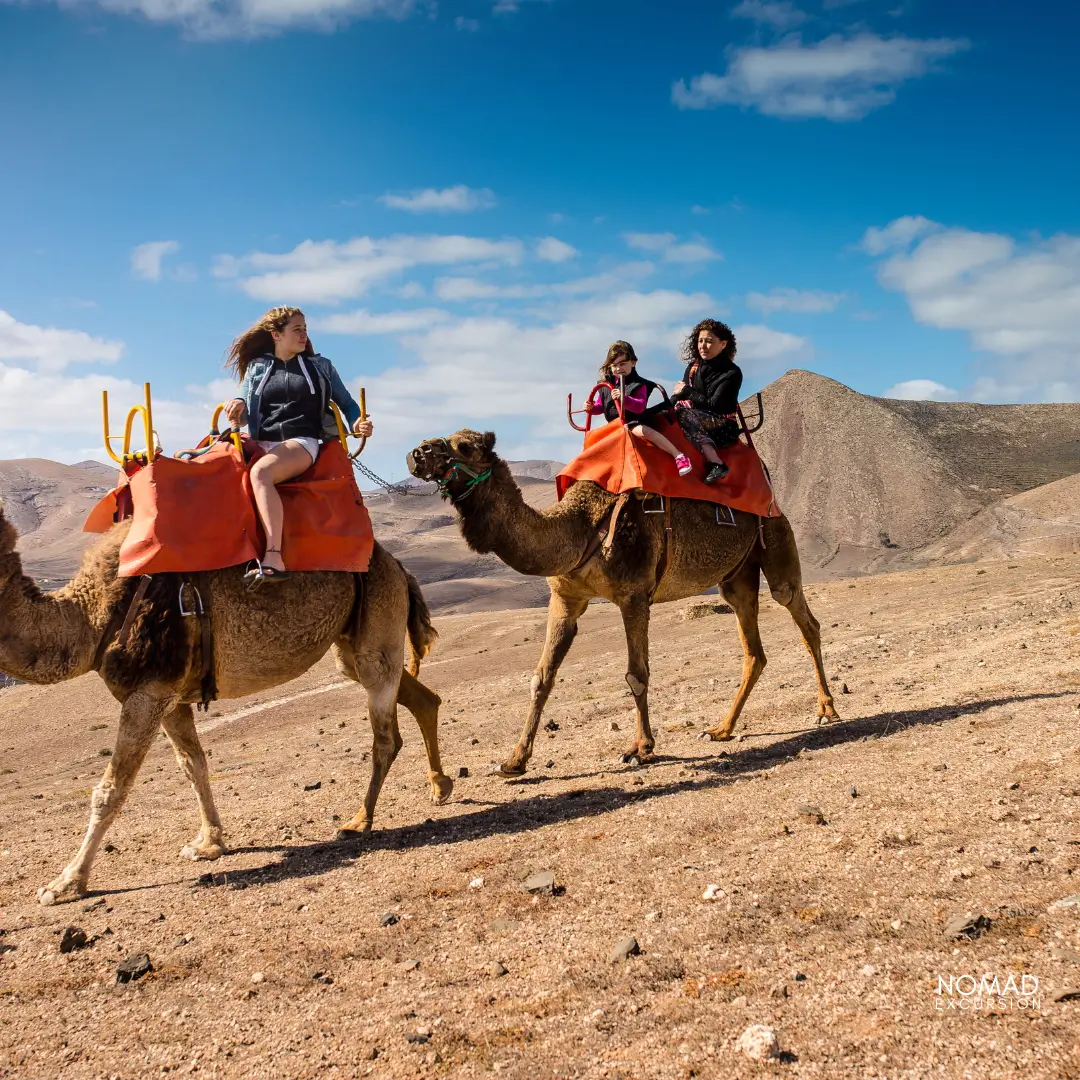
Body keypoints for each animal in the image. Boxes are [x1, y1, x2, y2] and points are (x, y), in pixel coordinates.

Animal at [0, 503, 453, 905]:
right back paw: (439, 786)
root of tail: (399, 566)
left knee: (384, 734)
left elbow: (110, 789)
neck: (94, 616)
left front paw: (65, 884)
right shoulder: (171, 697)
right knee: (419, 697)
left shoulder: (149, 691)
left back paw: (360, 821)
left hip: (378, 612)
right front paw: (208, 843)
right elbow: (193, 765)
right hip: (352, 642)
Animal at [407, 430, 838, 774]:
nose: (416, 452)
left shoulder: (634, 595)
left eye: (465, 446)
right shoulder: (565, 598)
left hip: (775, 536)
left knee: (801, 615)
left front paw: (641, 748)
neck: (580, 528)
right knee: (754, 649)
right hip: (736, 576)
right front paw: (514, 760)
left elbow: (636, 674)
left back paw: (826, 709)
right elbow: (542, 676)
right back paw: (721, 729)